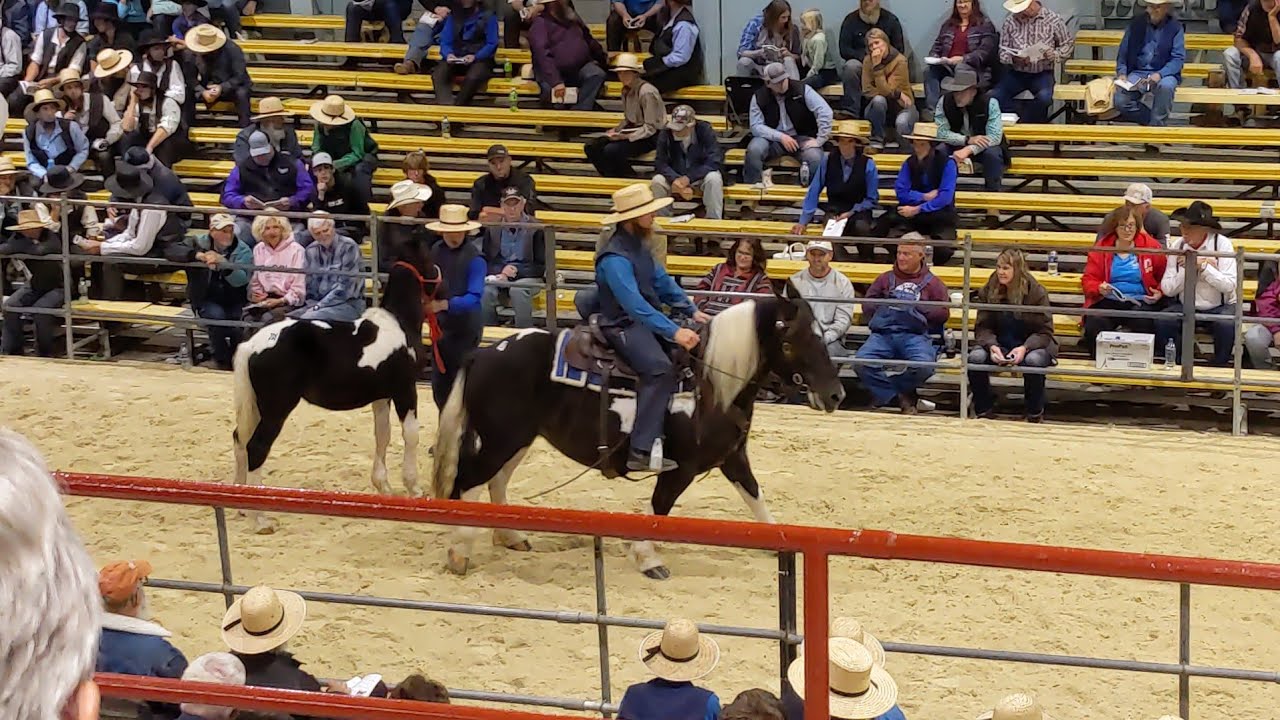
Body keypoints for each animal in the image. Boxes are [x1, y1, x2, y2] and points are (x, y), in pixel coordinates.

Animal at [231, 241, 441, 534]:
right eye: (429, 259)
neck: (397, 326)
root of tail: (253, 343)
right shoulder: (404, 391)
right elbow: (410, 435)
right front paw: (415, 489)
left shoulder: (382, 396)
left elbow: (383, 435)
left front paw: (384, 487)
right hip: (276, 409)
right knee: (256, 447)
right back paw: (260, 519)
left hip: (255, 407)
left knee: (240, 439)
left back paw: (241, 505)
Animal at [431, 282, 846, 579]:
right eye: (793, 342)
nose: (836, 395)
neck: (710, 384)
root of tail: (484, 352)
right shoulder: (680, 468)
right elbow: (659, 508)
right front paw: (648, 559)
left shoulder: (733, 459)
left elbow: (757, 501)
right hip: (501, 439)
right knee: (468, 483)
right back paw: (458, 553)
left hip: (518, 439)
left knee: (496, 481)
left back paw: (511, 536)